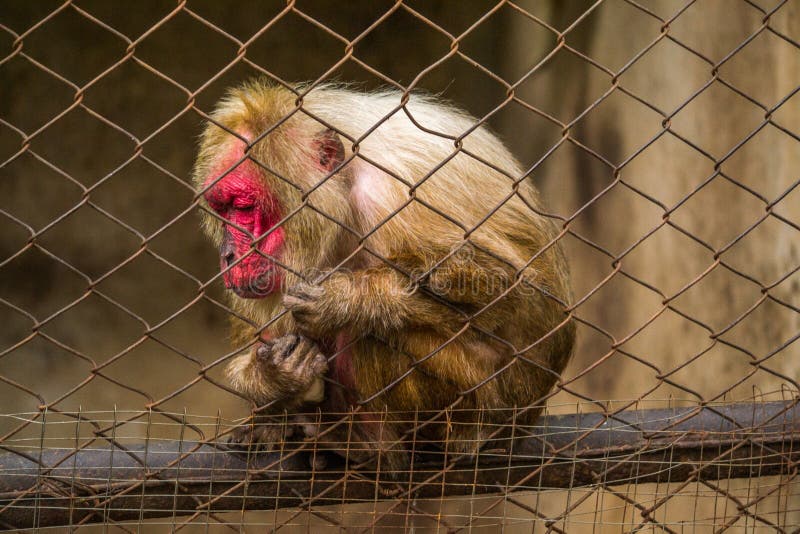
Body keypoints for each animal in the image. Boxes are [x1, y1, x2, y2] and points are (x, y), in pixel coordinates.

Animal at [193, 79, 575, 473]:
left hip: (481, 413)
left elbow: (508, 285)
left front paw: (348, 299)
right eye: (222, 209)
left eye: (245, 207)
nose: (228, 254)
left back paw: (371, 446)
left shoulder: (401, 192)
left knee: (377, 333)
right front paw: (273, 381)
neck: (345, 187)